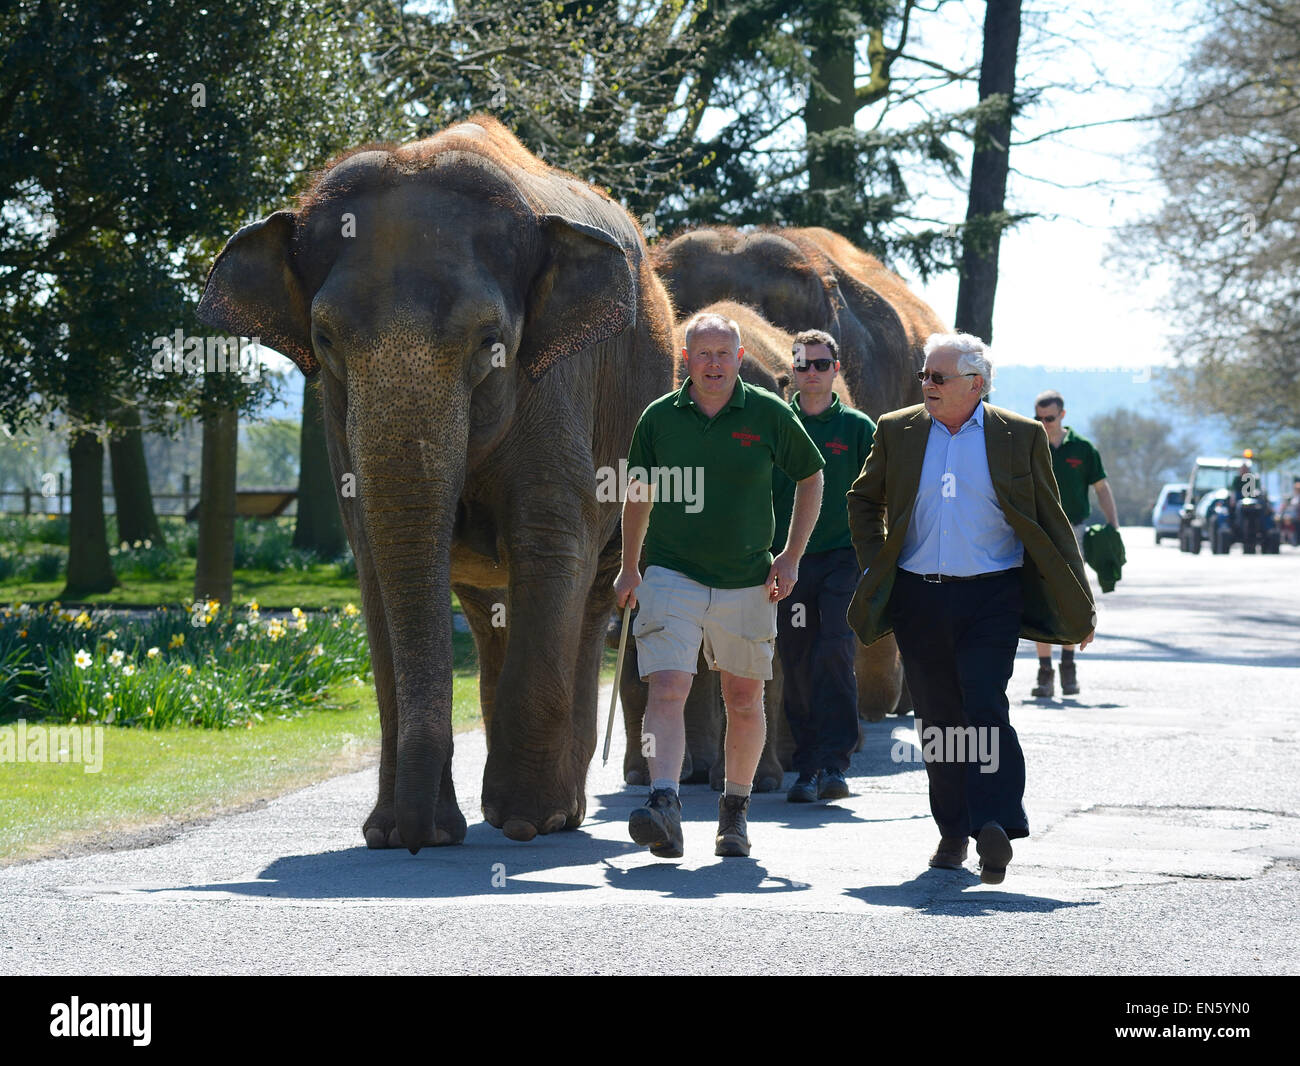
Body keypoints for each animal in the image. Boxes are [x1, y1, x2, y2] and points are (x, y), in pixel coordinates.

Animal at [198, 116, 675, 850]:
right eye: (325, 339)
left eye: (489, 342)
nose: (421, 836)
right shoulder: (338, 421)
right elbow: (374, 554)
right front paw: (391, 834)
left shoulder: (559, 384)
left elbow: (548, 543)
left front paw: (523, 822)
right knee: (489, 613)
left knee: (590, 598)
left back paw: (554, 816)